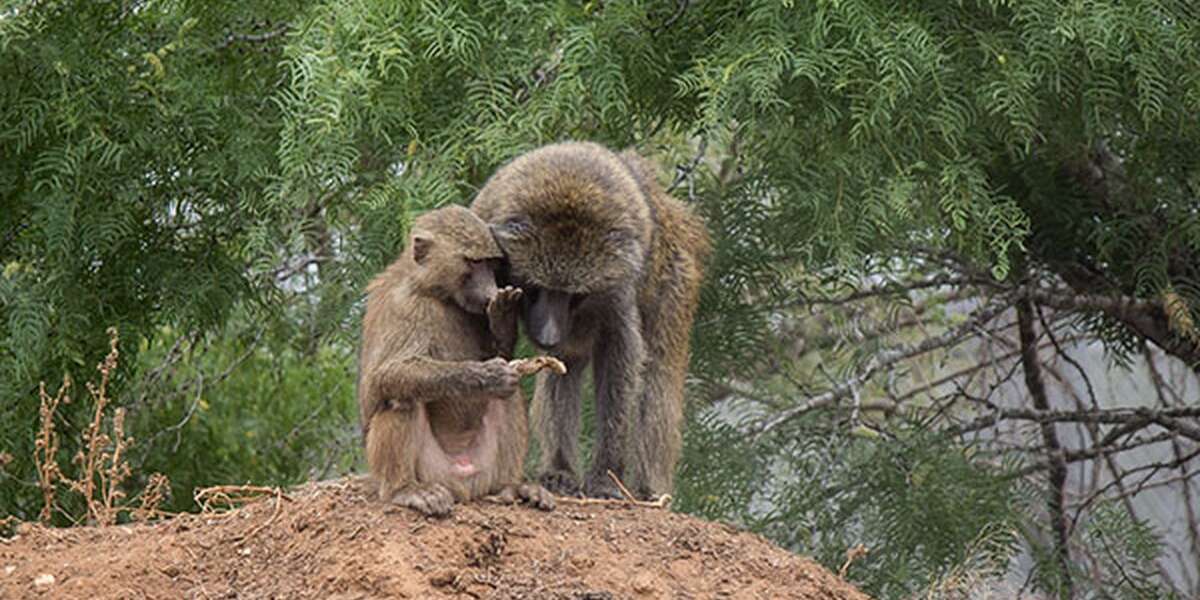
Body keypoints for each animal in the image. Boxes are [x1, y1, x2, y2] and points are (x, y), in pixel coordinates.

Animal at [357, 205, 558, 516]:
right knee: (402, 396)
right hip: (433, 471)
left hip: (483, 470)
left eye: (491, 264)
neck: (435, 292)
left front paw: (503, 318)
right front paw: (487, 376)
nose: (491, 291)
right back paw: (406, 491)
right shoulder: (404, 305)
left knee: (509, 396)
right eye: (473, 263)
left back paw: (514, 487)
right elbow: (386, 374)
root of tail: (463, 482)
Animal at [471, 141, 711, 500]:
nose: (550, 334)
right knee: (565, 367)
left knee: (656, 378)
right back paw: (561, 470)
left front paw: (606, 477)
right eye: (537, 288)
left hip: (675, 275)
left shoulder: (617, 288)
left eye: (575, 295)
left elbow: (621, 359)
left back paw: (646, 491)